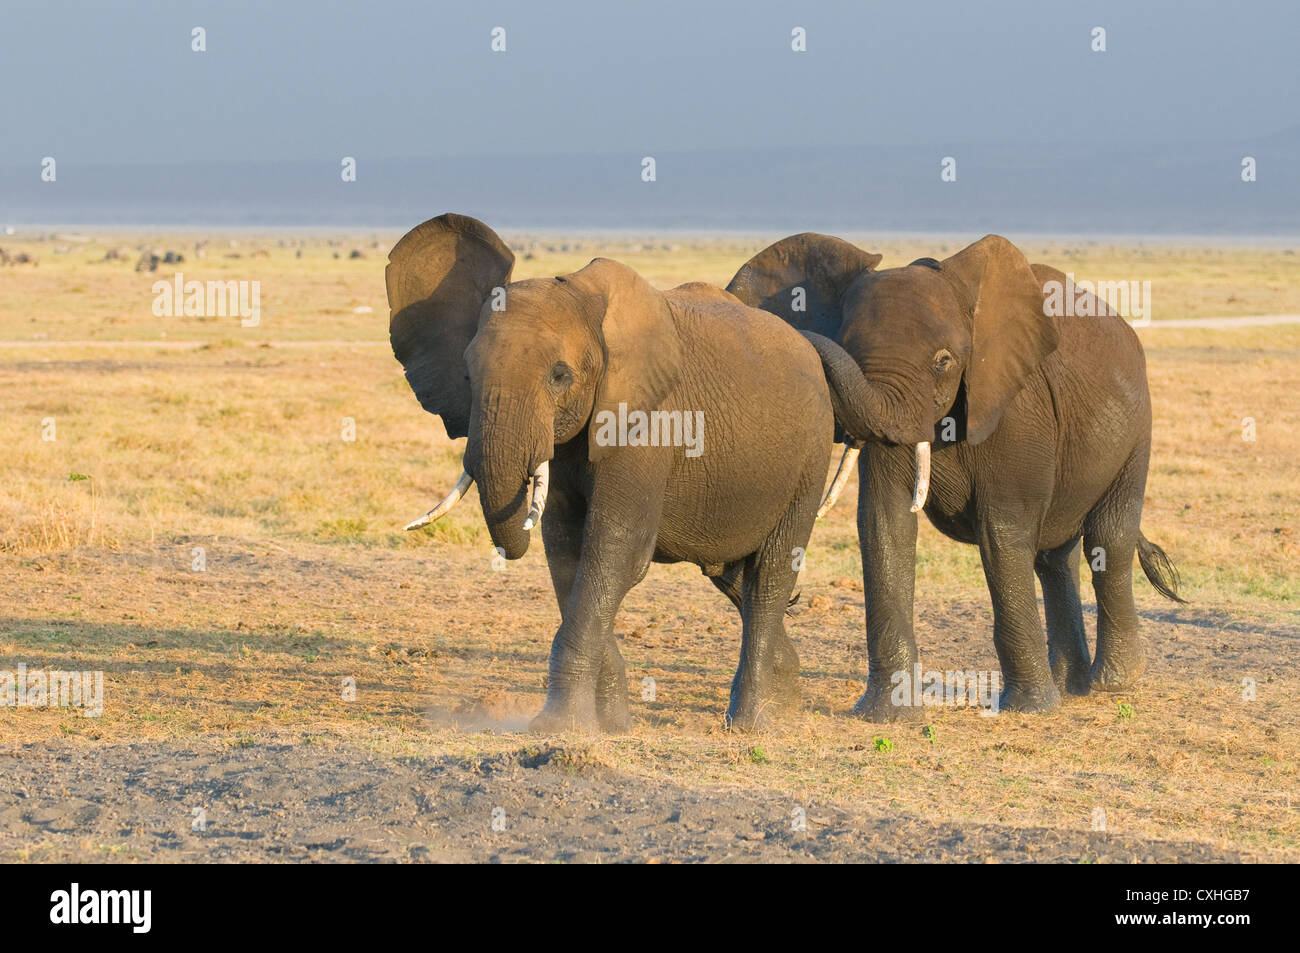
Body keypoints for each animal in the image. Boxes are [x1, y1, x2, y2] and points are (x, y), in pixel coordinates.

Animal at [386, 213, 864, 732]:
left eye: (559, 376)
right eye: (468, 376)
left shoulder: (648, 418)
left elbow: (616, 549)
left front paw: (558, 727)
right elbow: (568, 551)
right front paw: (610, 725)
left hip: (810, 454)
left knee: (770, 575)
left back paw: (751, 723)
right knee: (733, 575)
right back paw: (787, 701)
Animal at [726, 232, 1184, 720]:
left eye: (943, 361)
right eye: (847, 348)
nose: (801, 341)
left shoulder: (1015, 405)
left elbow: (1002, 532)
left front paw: (1028, 710)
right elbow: (885, 523)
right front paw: (887, 715)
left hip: (1138, 429)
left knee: (1108, 537)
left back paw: (1111, 683)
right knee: (1054, 558)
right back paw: (1070, 686)